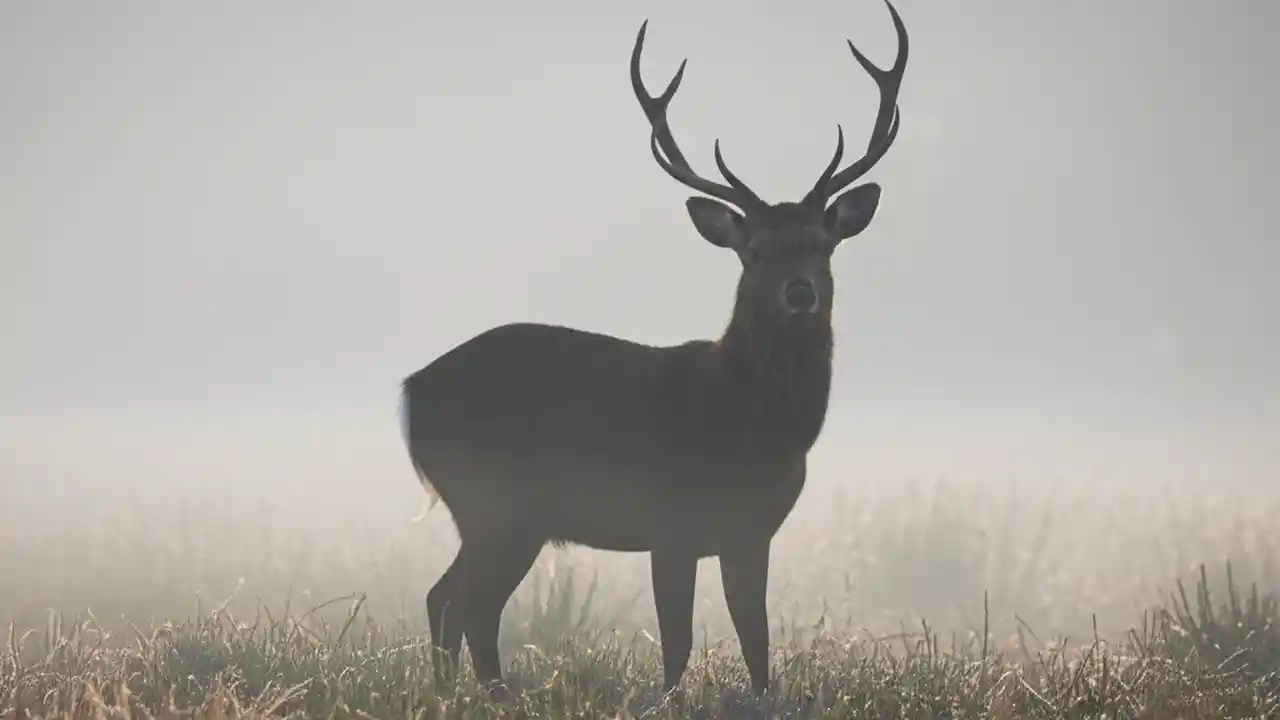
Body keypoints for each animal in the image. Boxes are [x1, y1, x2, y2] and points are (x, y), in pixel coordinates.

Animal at [399, 0, 908, 695]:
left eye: (821, 244)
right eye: (755, 251)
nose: (799, 292)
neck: (754, 427)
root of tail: (410, 390)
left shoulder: (752, 531)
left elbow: (757, 644)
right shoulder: (670, 521)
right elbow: (677, 644)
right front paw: (663, 701)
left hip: (499, 512)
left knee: (444, 596)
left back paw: (457, 693)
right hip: (493, 500)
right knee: (468, 603)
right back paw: (491, 696)